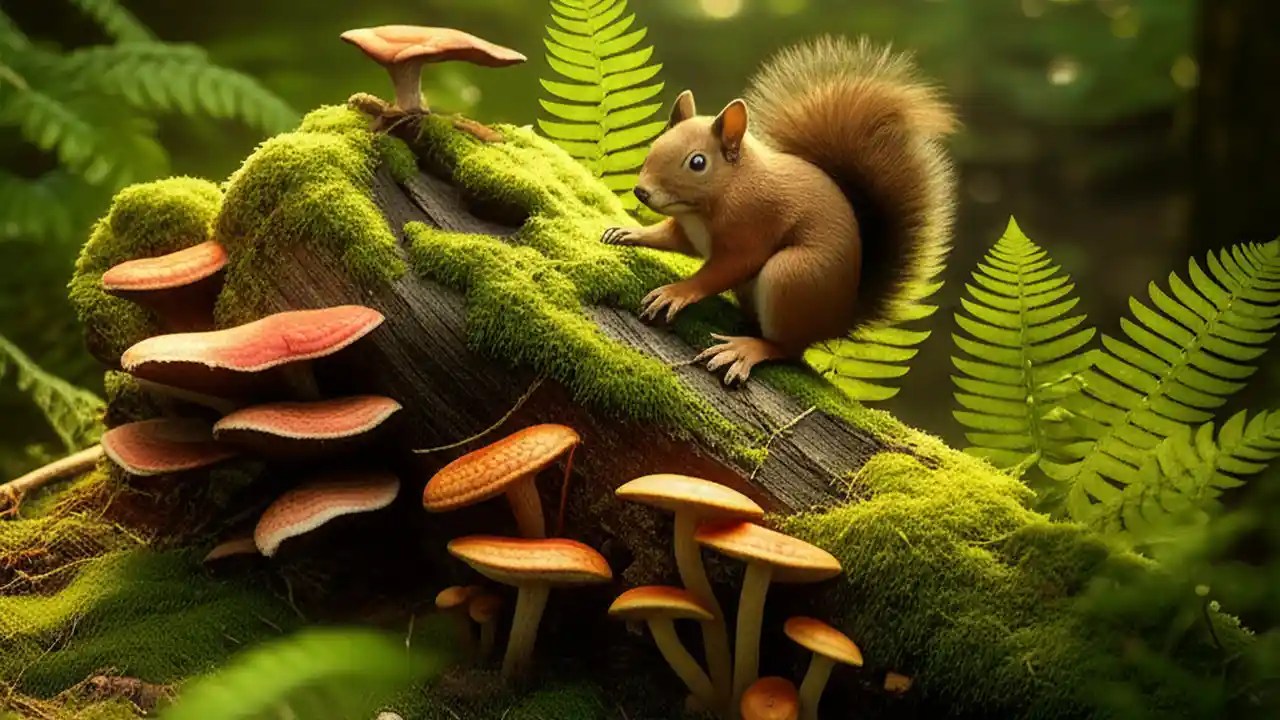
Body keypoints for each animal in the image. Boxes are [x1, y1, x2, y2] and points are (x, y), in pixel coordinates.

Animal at [601, 35, 958, 385]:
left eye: (698, 162)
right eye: (655, 145)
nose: (641, 191)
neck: (709, 203)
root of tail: (839, 319)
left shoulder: (751, 228)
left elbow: (723, 269)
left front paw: (678, 291)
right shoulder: (688, 231)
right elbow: (669, 236)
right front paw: (629, 232)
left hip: (792, 276)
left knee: (788, 349)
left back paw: (746, 349)